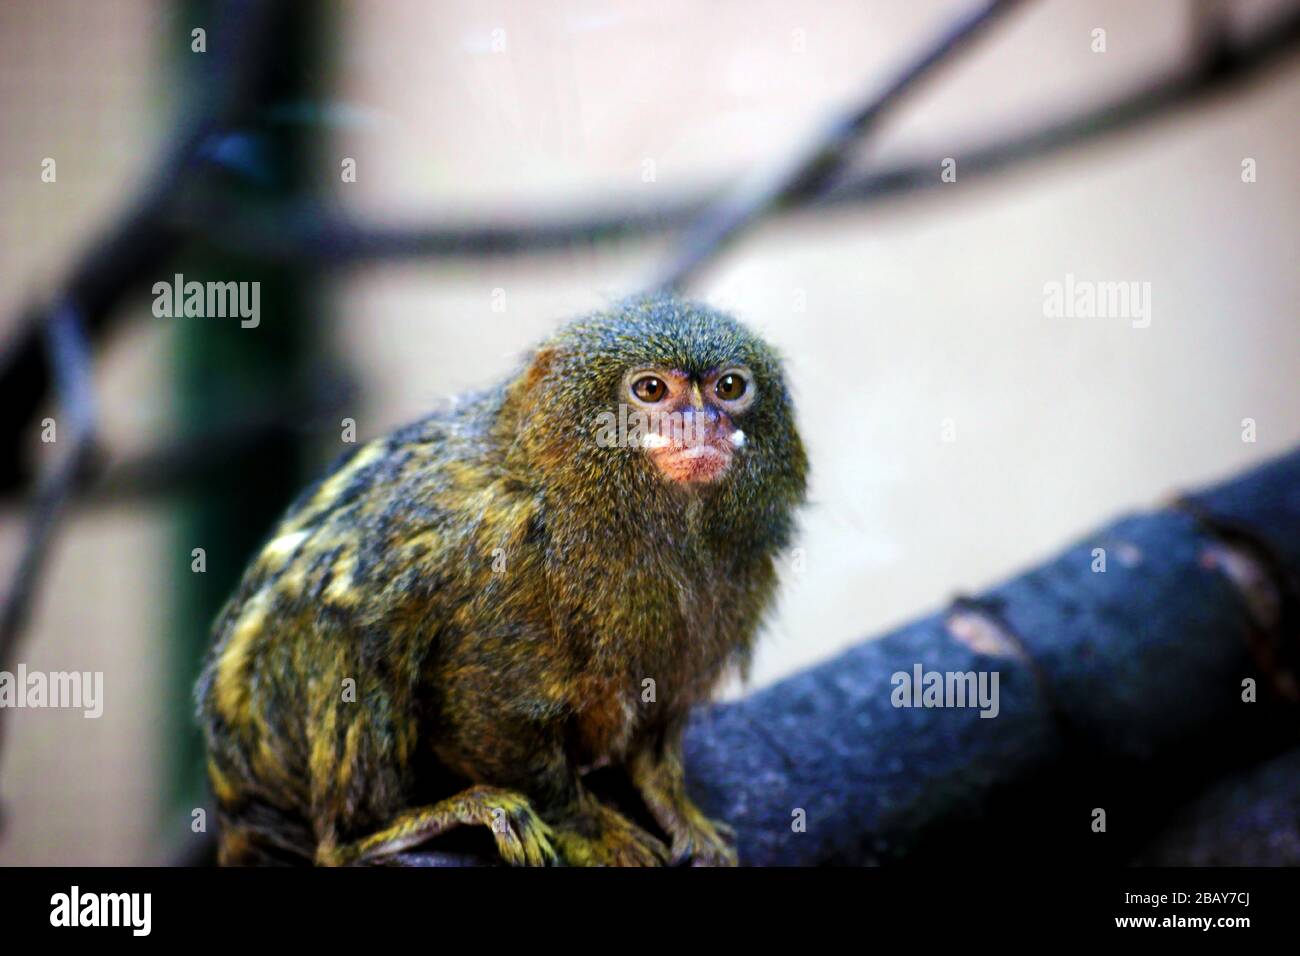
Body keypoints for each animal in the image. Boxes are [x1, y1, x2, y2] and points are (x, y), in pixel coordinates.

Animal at [195, 293, 807, 866]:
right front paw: (592, 827)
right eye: (651, 390)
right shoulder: (504, 560)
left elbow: (658, 720)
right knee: (345, 638)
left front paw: (673, 805)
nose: (703, 423)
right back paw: (394, 827)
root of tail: (230, 796)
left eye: (730, 386)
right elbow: (484, 708)